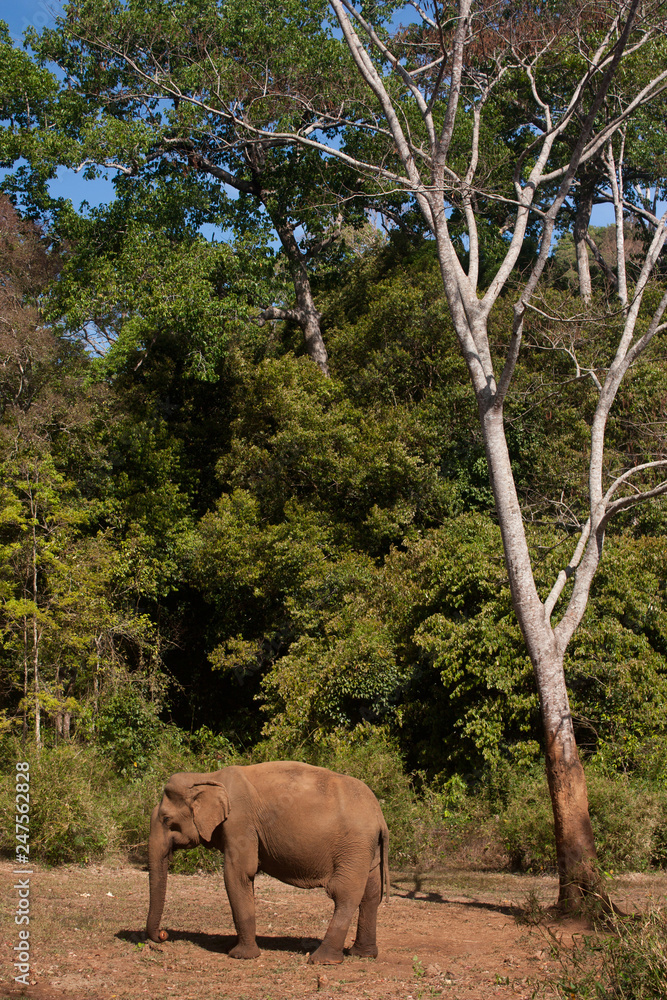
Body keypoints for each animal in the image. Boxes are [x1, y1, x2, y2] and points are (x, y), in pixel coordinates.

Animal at [146, 760, 389, 964]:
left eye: (166, 819)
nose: (163, 934)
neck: (208, 777)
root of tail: (380, 817)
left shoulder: (239, 822)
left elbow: (238, 874)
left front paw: (240, 956)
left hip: (353, 845)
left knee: (345, 893)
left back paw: (322, 960)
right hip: (367, 849)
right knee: (371, 894)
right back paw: (363, 954)